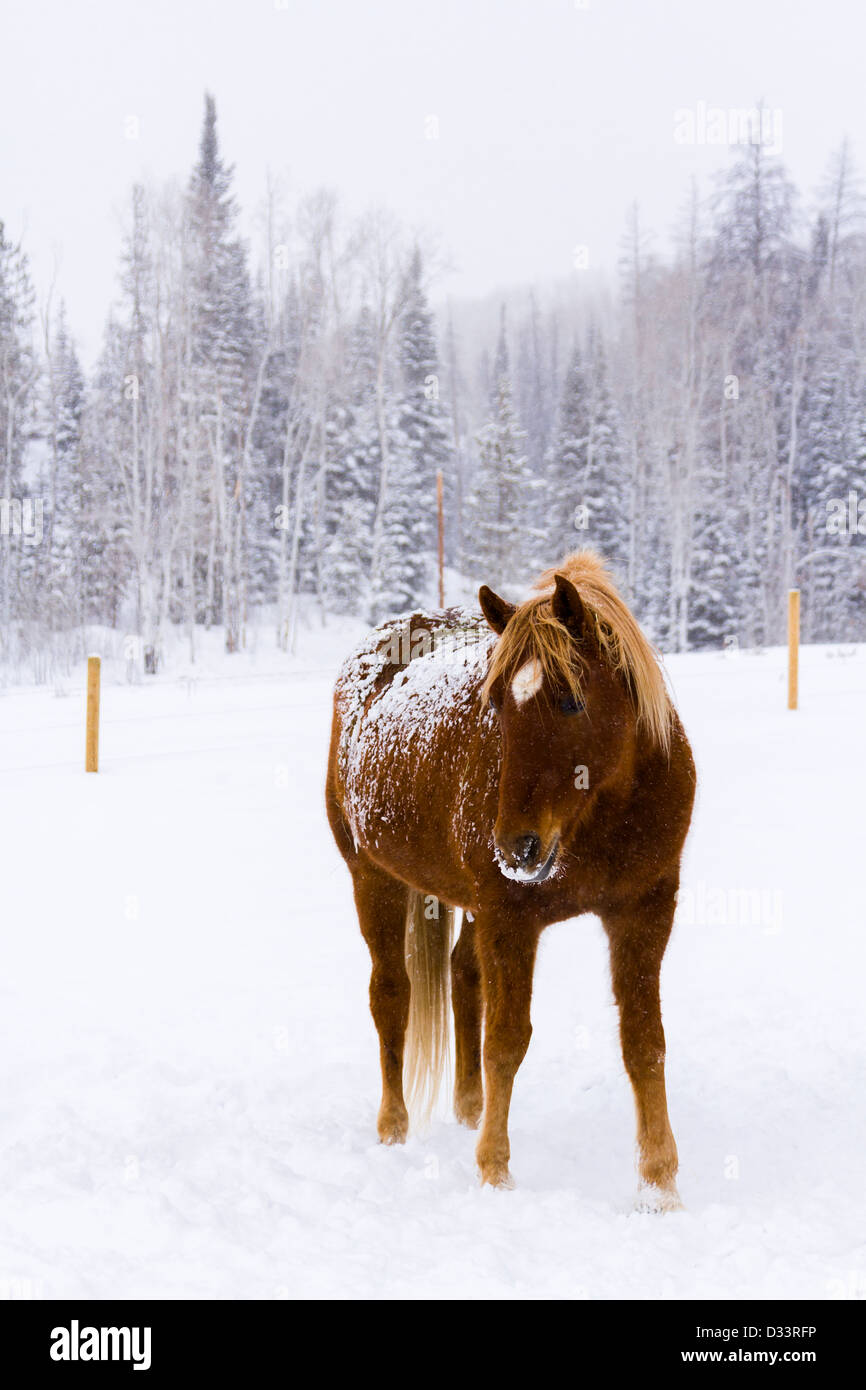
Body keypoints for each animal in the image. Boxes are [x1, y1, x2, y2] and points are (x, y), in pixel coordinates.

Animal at [326, 552, 696, 1207]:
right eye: (495, 702)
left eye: (571, 700)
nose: (516, 847)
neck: (603, 815)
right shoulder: (511, 918)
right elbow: (506, 1041)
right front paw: (495, 1172)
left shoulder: (646, 909)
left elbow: (644, 1042)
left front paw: (659, 1185)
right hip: (373, 877)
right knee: (391, 994)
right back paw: (394, 1127)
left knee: (461, 977)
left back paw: (470, 1108)